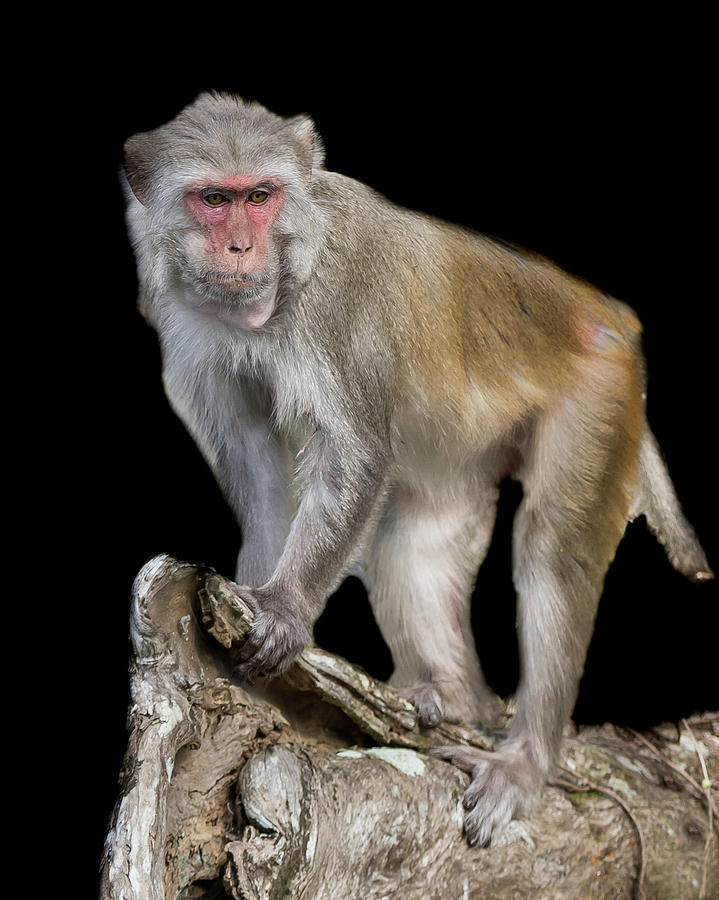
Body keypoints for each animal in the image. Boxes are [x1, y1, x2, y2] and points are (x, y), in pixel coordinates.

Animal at [123, 92, 713, 847]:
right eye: (213, 200)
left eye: (259, 196)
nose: (238, 248)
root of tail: (604, 306)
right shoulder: (191, 331)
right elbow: (259, 470)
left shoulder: (336, 306)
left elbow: (354, 455)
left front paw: (285, 607)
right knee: (410, 539)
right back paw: (451, 695)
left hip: (602, 388)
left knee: (551, 548)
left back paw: (526, 760)